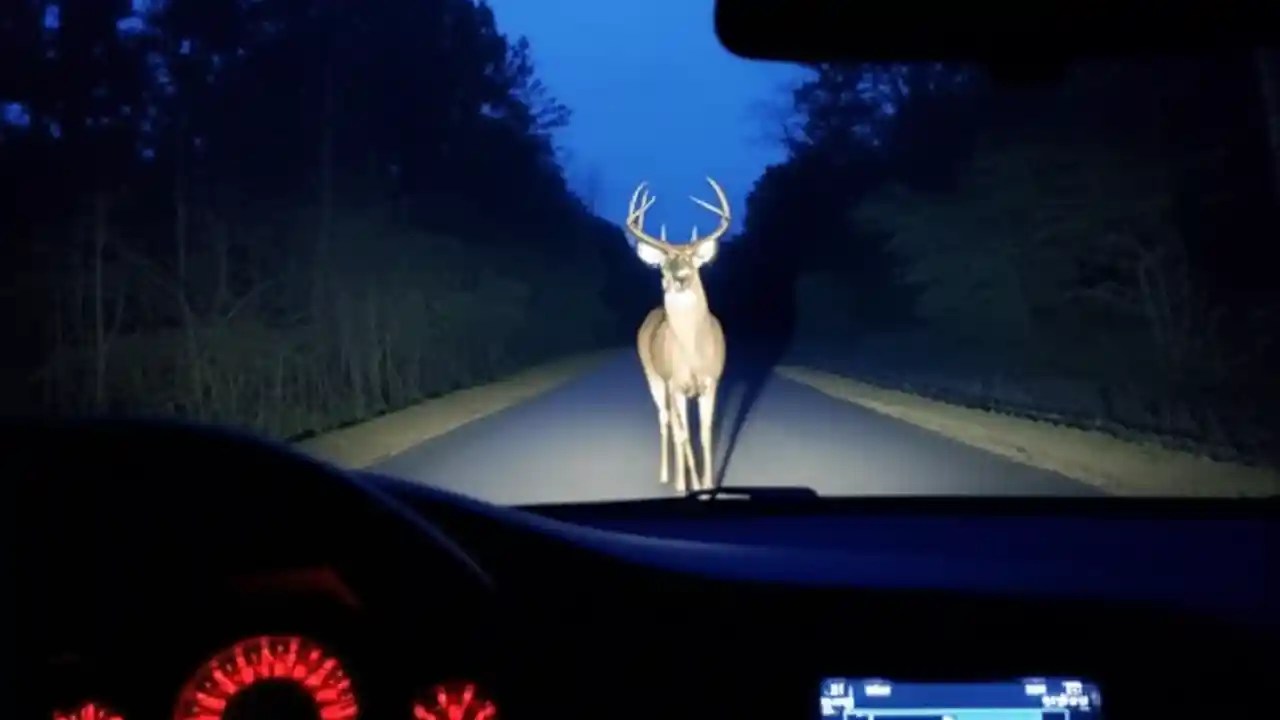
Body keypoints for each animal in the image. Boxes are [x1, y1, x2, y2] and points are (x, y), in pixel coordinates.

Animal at [626, 177, 730, 495]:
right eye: (663, 265)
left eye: (693, 261)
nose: (679, 278)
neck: (693, 352)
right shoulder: (676, 384)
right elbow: (684, 436)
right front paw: (692, 486)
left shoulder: (711, 382)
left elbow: (705, 434)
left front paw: (709, 485)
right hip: (654, 377)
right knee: (666, 422)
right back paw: (669, 478)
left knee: (674, 424)